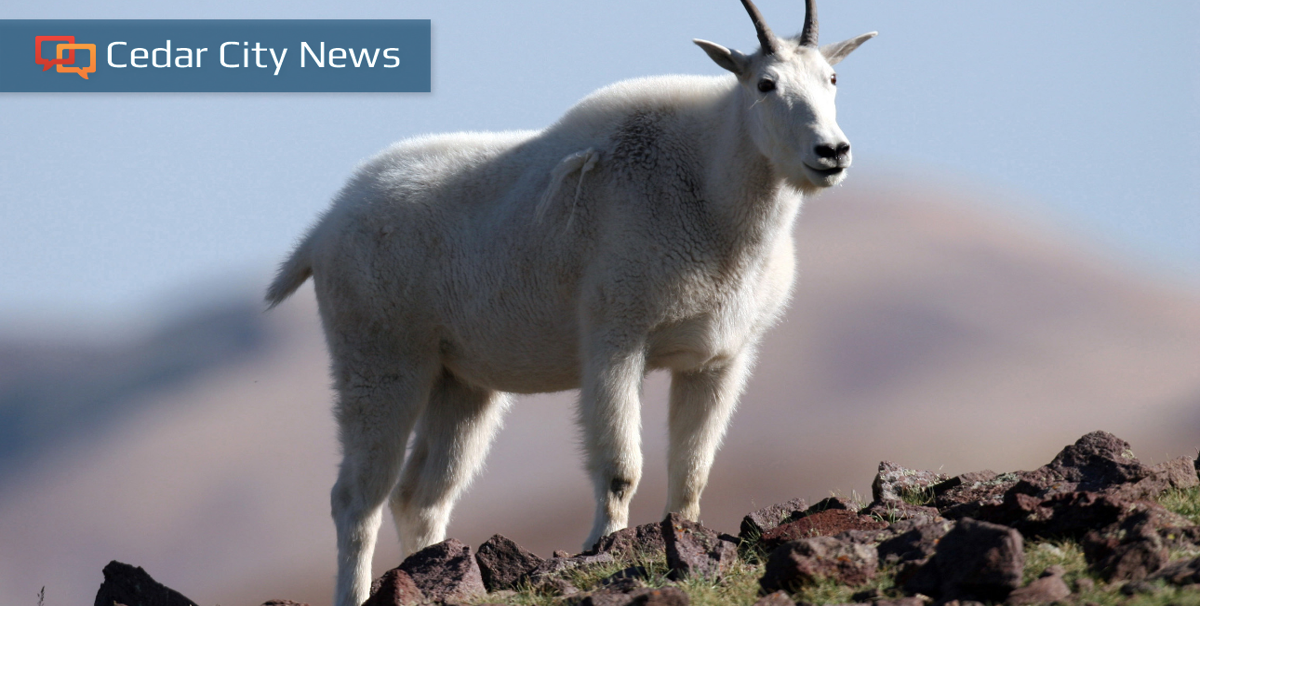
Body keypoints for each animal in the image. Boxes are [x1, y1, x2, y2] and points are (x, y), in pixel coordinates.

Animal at [267, 0, 876, 605]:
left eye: (832, 77)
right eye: (766, 83)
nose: (832, 152)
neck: (711, 191)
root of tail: (323, 230)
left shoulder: (719, 359)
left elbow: (692, 470)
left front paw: (687, 540)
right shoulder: (615, 339)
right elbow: (620, 468)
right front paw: (603, 547)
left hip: (459, 382)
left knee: (421, 494)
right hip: (380, 361)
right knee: (356, 498)